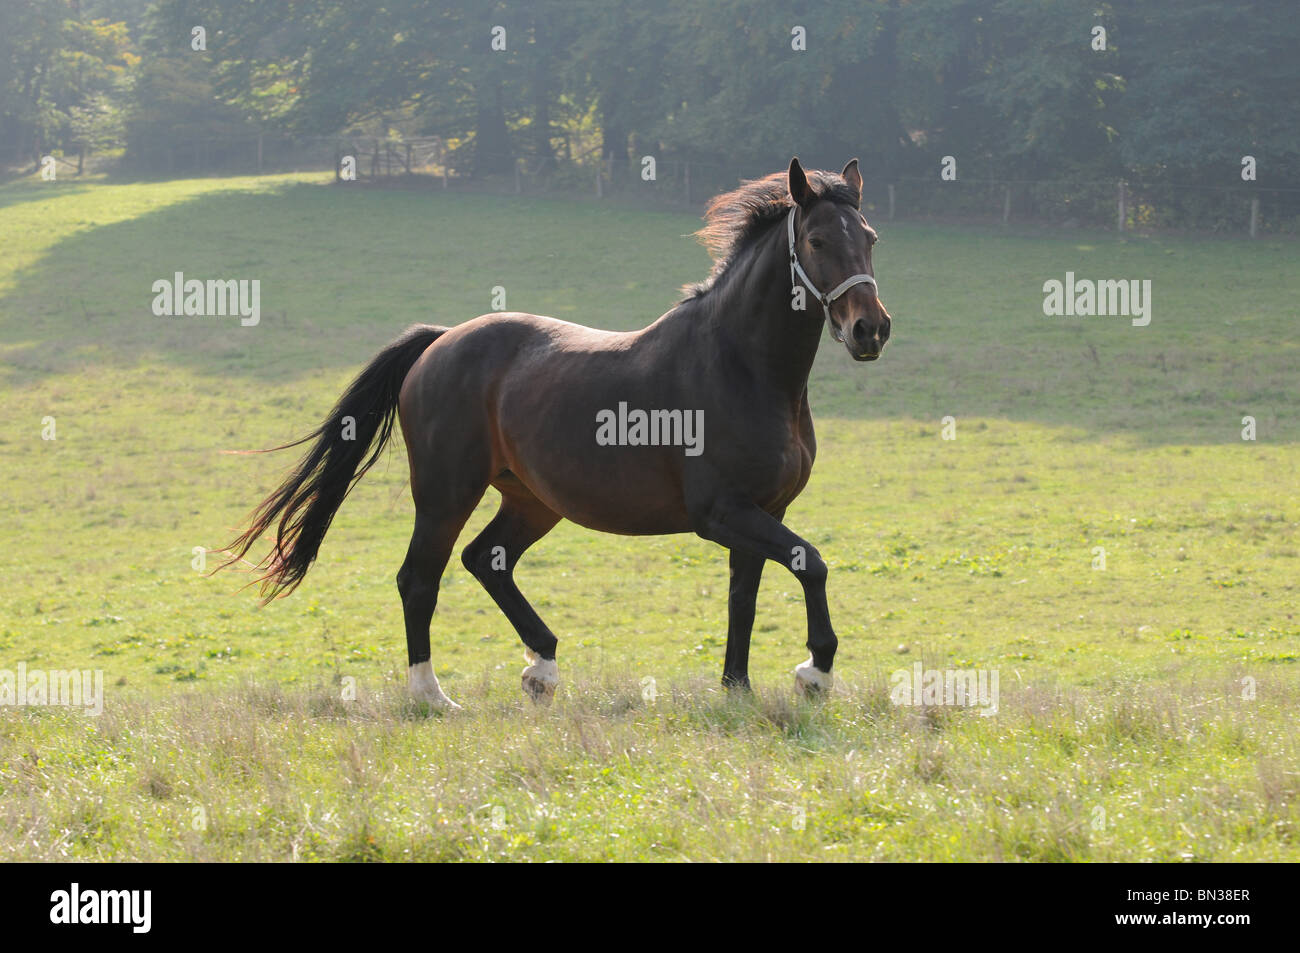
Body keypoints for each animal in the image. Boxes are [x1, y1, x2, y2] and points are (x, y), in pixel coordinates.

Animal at [221, 157, 892, 709]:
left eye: (871, 239)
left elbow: (744, 599)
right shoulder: (722, 511)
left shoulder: (762, 511)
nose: (871, 330)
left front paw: (738, 690)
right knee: (419, 578)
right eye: (817, 239)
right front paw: (815, 674)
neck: (742, 366)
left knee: (484, 560)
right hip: (445, 494)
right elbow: (813, 565)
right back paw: (433, 696)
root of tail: (440, 341)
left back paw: (541, 669)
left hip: (531, 501)